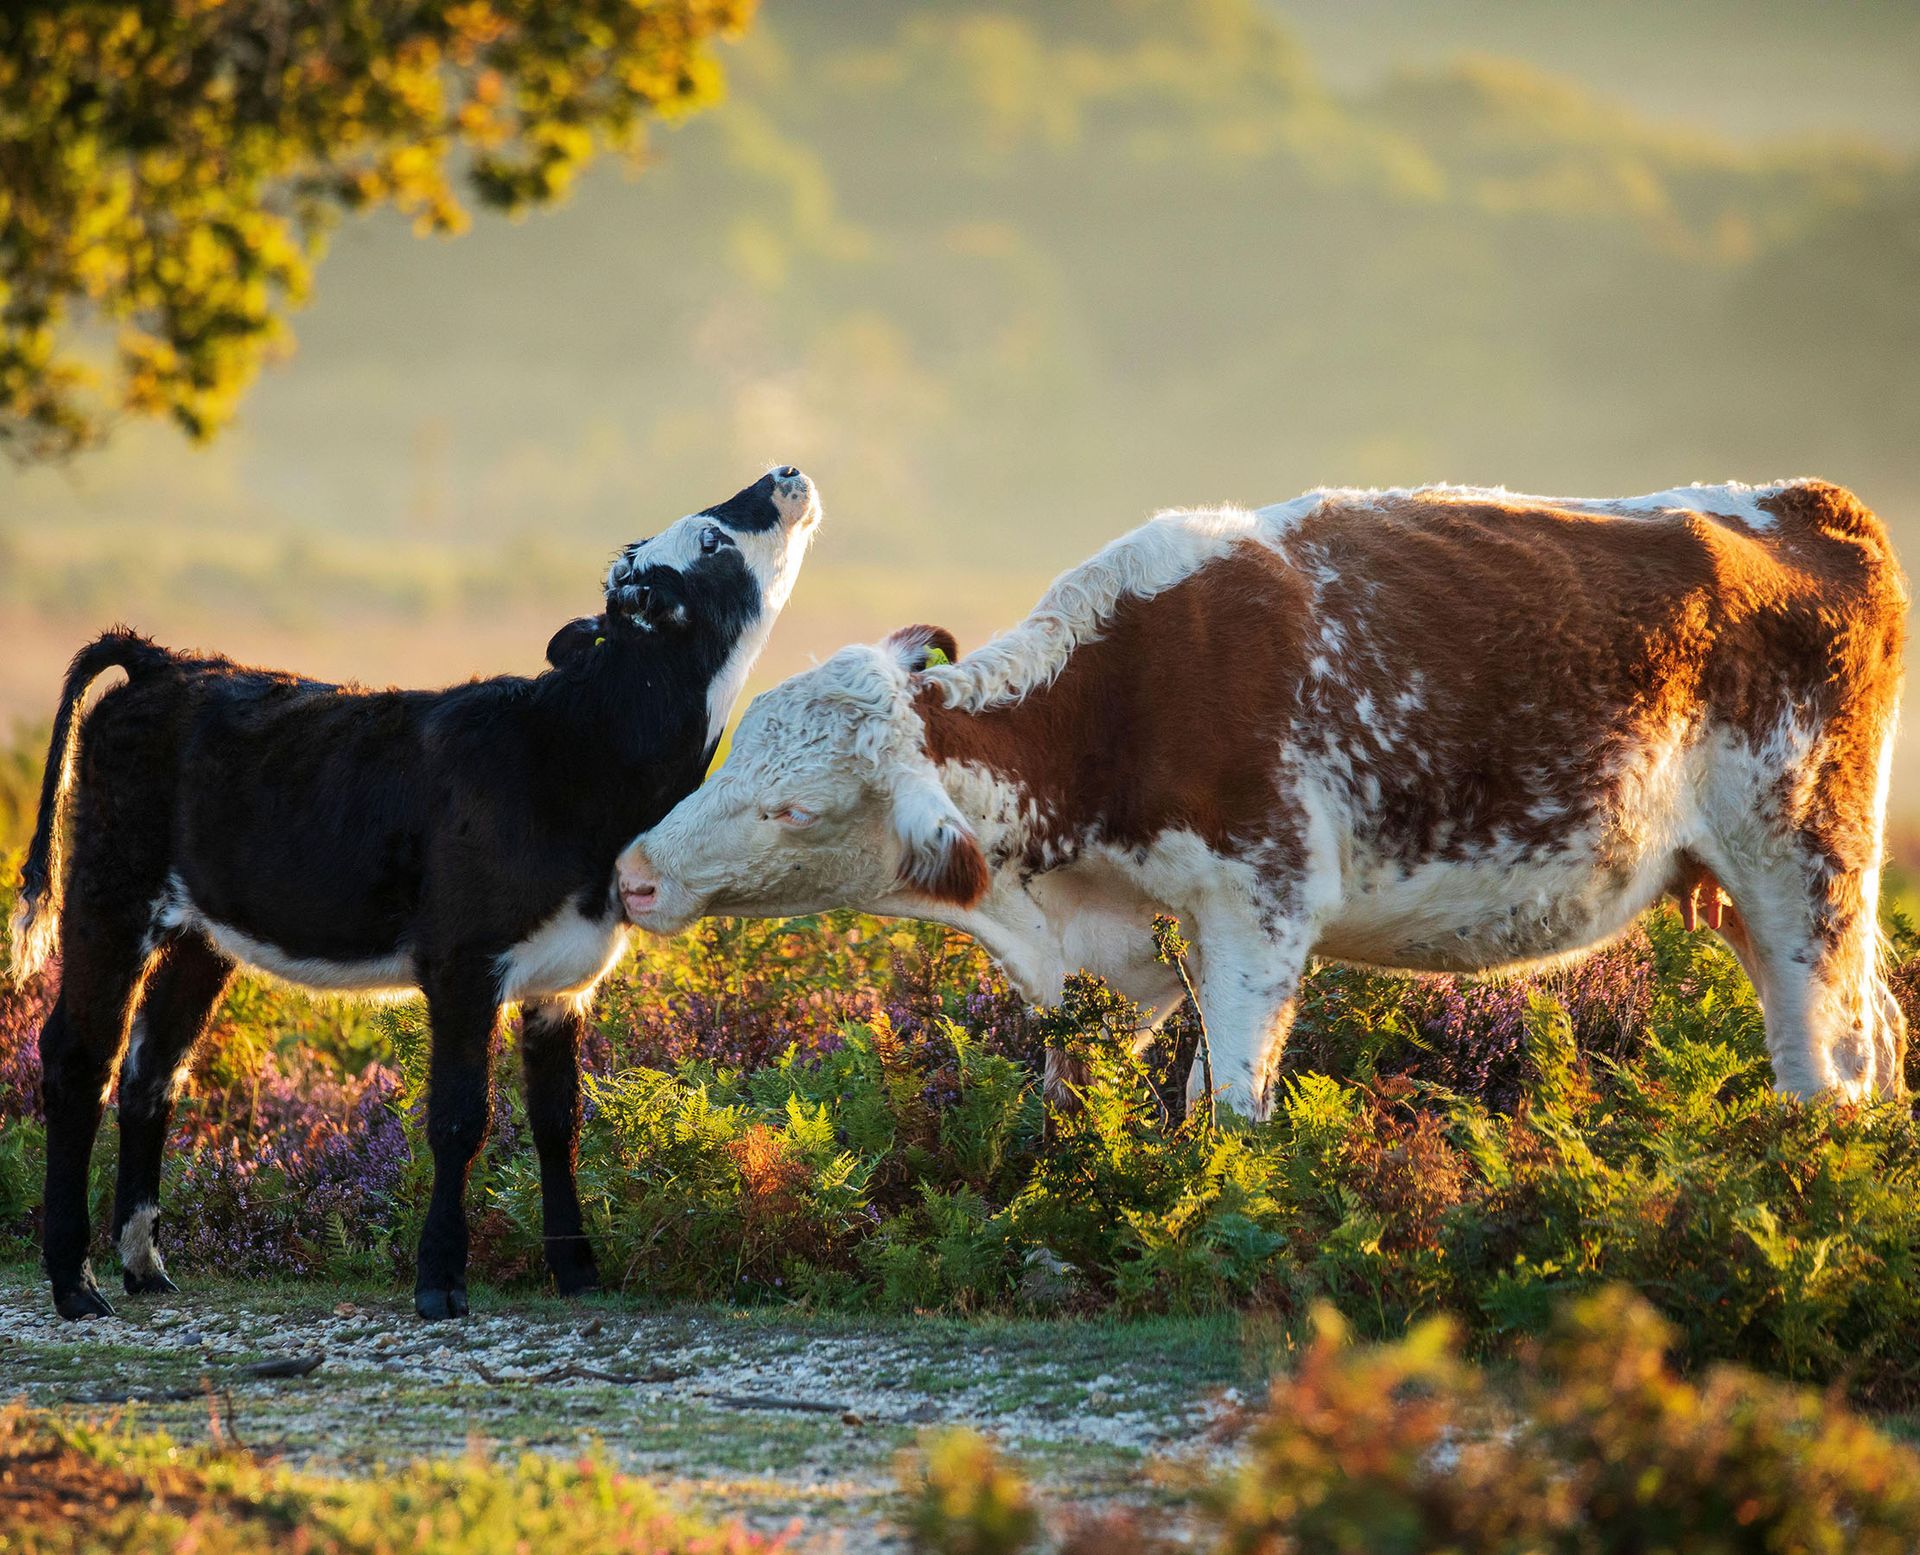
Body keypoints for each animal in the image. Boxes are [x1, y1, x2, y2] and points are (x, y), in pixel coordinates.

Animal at [9, 467, 821, 1320]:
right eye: (712, 539)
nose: (784, 474)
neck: (578, 748)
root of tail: (167, 661)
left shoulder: (566, 978)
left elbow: (558, 1119)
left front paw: (576, 1269)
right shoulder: (463, 959)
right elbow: (460, 1117)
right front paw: (440, 1278)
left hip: (204, 931)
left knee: (153, 1069)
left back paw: (145, 1263)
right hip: (109, 892)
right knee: (78, 1056)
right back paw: (75, 1281)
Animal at [614, 480, 1907, 1117]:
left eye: (795, 809)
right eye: (735, 755)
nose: (631, 872)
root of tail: (1806, 502)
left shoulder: (1264, 904)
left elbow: (1230, 1101)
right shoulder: (1129, 936)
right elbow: (1095, 1090)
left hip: (1804, 864)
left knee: (1829, 1058)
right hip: (1741, 891)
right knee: (1874, 1037)